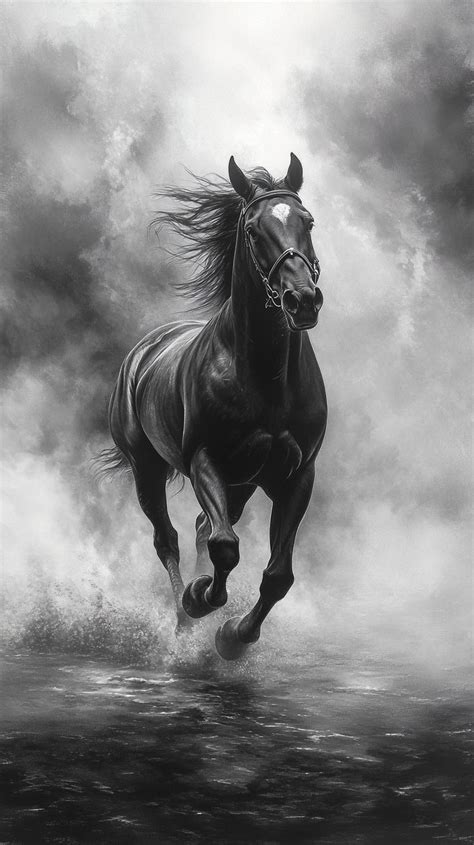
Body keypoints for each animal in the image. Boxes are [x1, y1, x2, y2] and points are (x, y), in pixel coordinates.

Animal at [99, 154, 327, 659]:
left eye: (307, 221)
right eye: (254, 230)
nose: (302, 301)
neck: (265, 378)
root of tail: (144, 350)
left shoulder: (296, 475)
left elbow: (278, 575)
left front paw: (234, 638)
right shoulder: (205, 461)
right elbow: (226, 547)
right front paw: (202, 601)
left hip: (242, 484)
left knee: (205, 525)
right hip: (148, 467)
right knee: (169, 539)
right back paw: (186, 621)